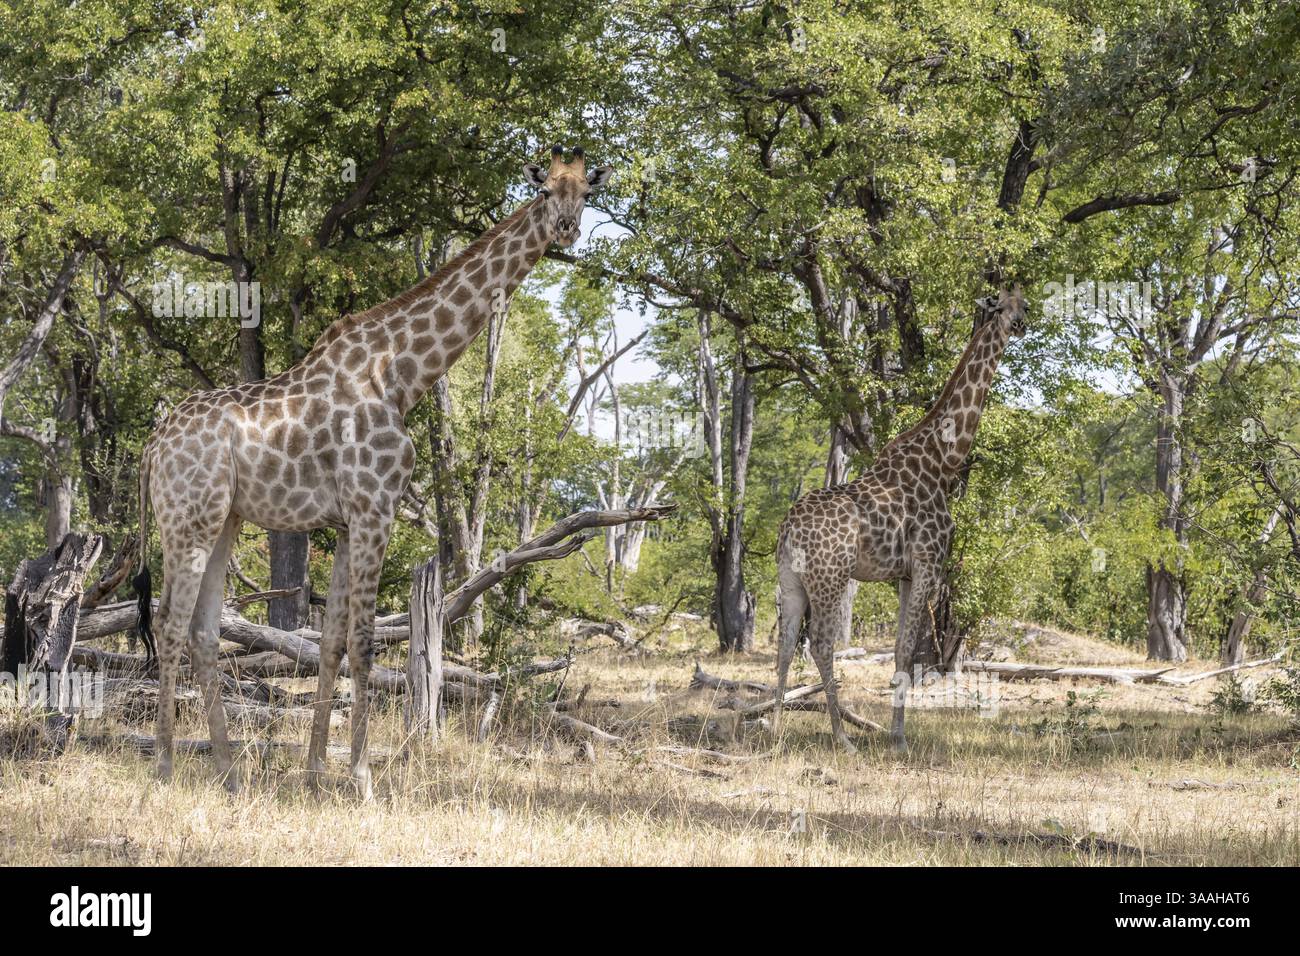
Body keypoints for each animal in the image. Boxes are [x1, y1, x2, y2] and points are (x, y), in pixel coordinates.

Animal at [132, 147, 613, 796]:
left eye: (585, 192)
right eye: (543, 192)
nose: (565, 228)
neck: (403, 376)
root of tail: (153, 446)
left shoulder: (344, 521)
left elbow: (331, 642)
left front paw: (314, 772)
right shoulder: (374, 508)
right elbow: (363, 643)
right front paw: (360, 776)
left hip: (224, 519)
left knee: (205, 630)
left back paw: (229, 772)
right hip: (187, 519)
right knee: (170, 624)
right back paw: (164, 765)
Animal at [773, 286, 1027, 753]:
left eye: (1024, 302)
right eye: (1006, 304)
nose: (1023, 322)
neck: (945, 460)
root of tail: (787, 530)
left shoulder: (907, 573)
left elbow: (897, 649)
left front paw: (896, 732)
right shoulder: (928, 562)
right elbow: (909, 650)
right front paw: (899, 739)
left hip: (791, 580)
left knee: (784, 645)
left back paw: (775, 727)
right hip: (831, 578)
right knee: (821, 646)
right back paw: (842, 738)